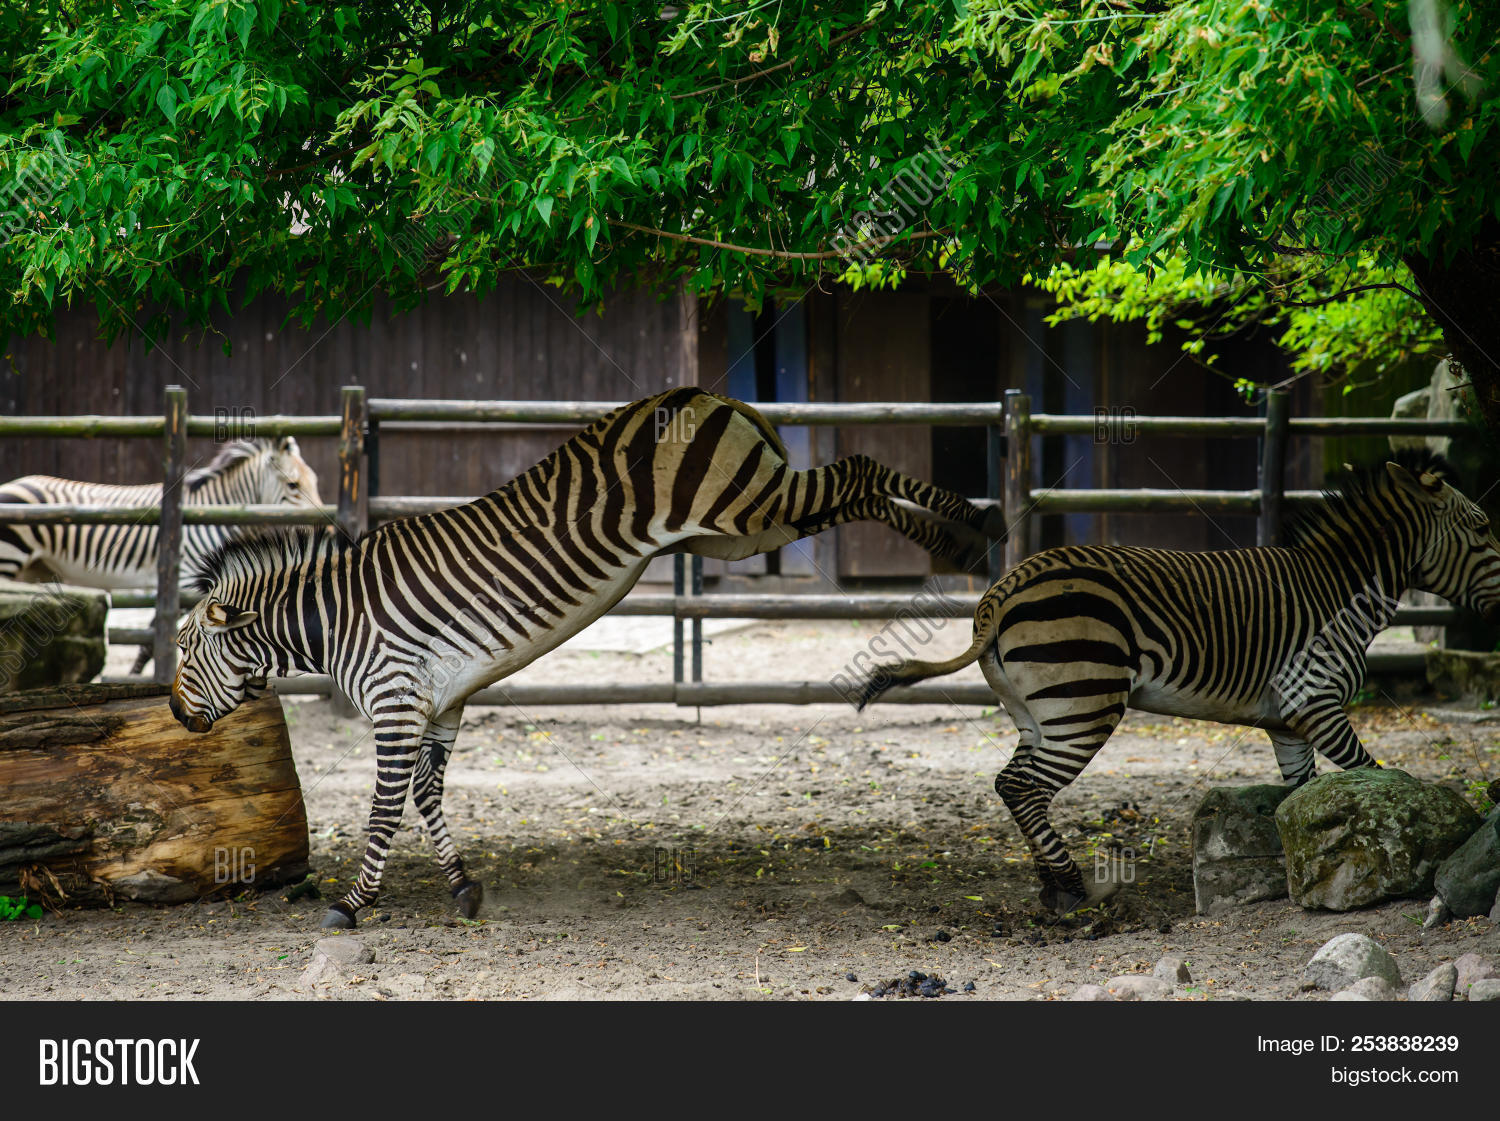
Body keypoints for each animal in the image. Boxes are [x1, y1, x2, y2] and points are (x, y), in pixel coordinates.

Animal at [0, 438, 322, 673]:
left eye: (314, 481)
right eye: (293, 485)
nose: (326, 524)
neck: (211, 511)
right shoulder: (186, 580)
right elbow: (153, 640)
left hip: (34, 568)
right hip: (10, 557)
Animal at [167, 388, 1005, 928]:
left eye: (182, 646)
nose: (174, 711)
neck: (337, 621)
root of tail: (700, 390)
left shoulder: (397, 702)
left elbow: (384, 805)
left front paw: (351, 905)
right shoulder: (441, 704)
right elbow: (428, 797)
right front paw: (464, 889)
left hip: (743, 504)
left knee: (859, 469)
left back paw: (977, 524)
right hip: (745, 525)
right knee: (858, 491)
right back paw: (964, 540)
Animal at [855, 452, 1500, 914]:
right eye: (1483, 529)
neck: (1338, 592)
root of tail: (1004, 587)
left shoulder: (1289, 722)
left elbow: (1301, 795)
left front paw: (1298, 874)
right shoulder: (1317, 702)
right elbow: (1373, 779)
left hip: (1035, 713)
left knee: (1012, 785)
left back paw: (1050, 886)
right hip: (1082, 704)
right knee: (1024, 788)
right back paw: (1075, 890)